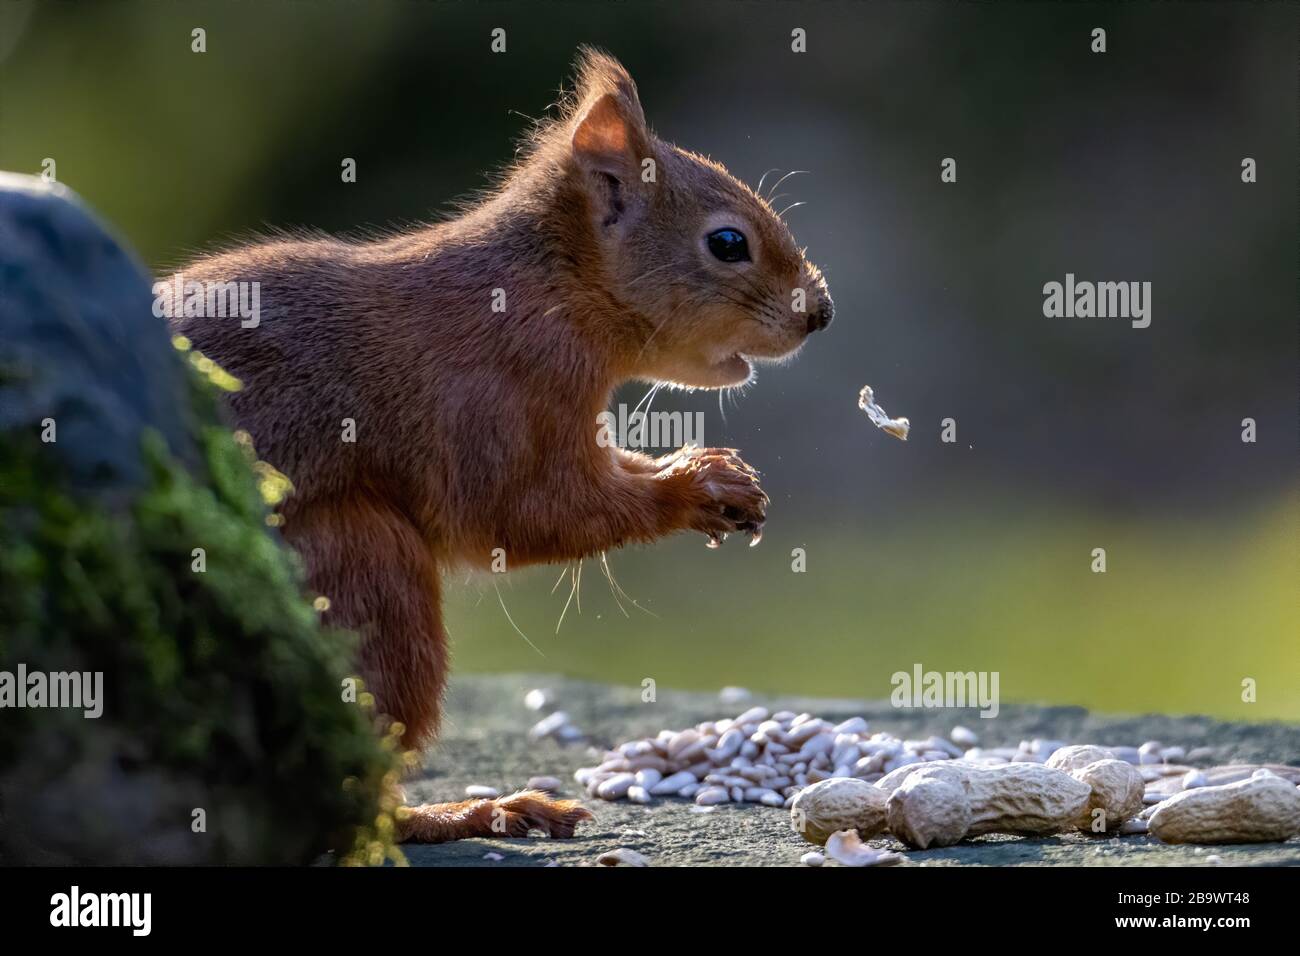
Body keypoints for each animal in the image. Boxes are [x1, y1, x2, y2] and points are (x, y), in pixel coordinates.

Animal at [169, 49, 833, 843]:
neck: (549, 286)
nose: (821, 312)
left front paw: (720, 472)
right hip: (361, 571)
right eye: (728, 243)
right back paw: (467, 811)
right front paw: (691, 487)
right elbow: (526, 511)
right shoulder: (500, 401)